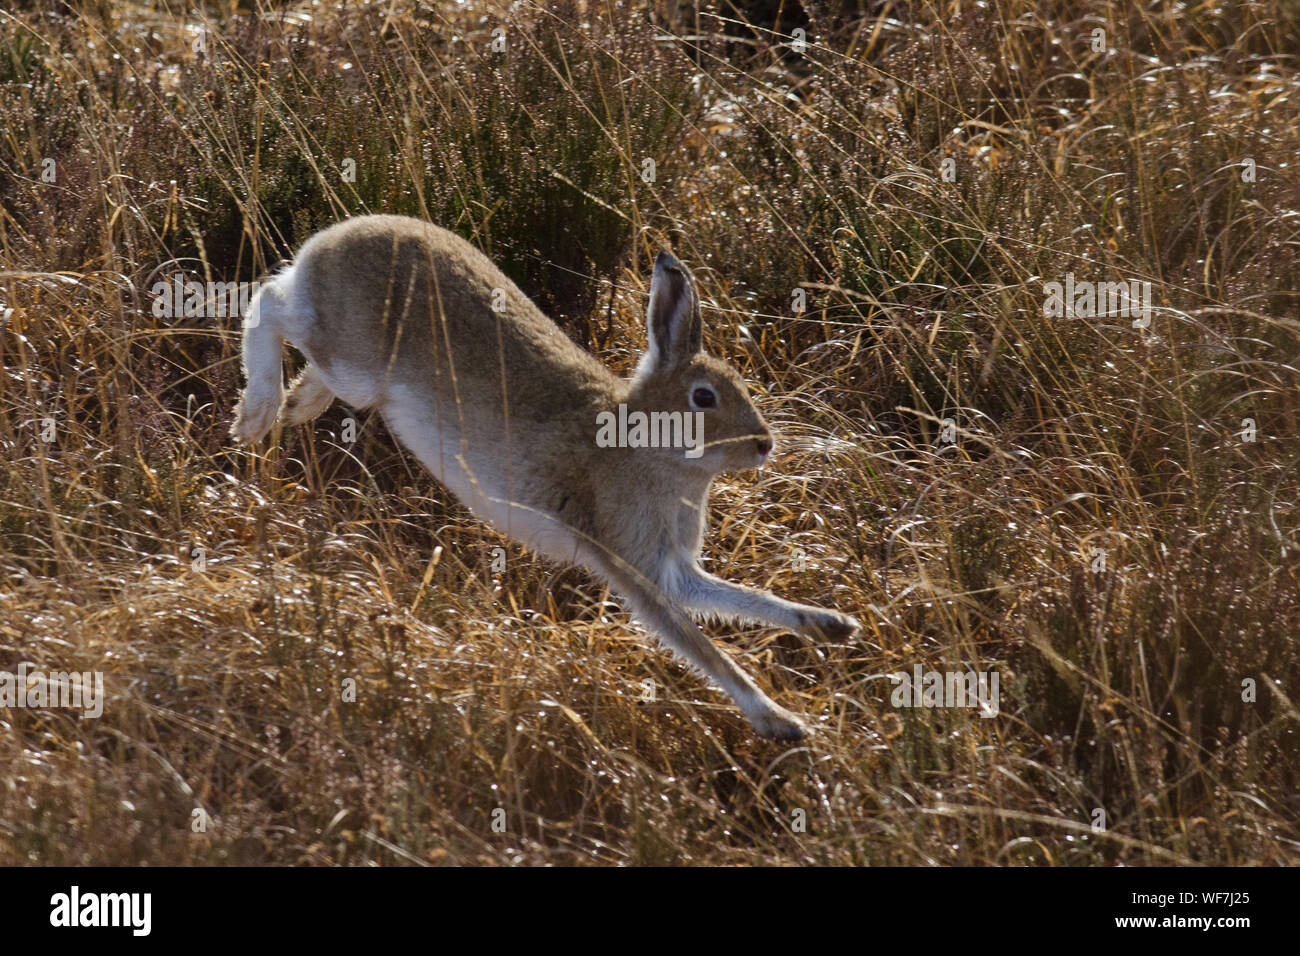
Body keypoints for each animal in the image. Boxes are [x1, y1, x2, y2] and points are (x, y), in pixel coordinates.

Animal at [231, 214, 859, 740]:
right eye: (704, 398)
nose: (764, 445)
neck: (645, 448)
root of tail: (330, 240)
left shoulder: (671, 567)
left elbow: (738, 598)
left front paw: (831, 625)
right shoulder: (630, 563)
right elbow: (701, 646)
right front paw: (780, 722)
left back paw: (298, 404)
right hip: (356, 363)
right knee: (267, 301)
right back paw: (258, 411)